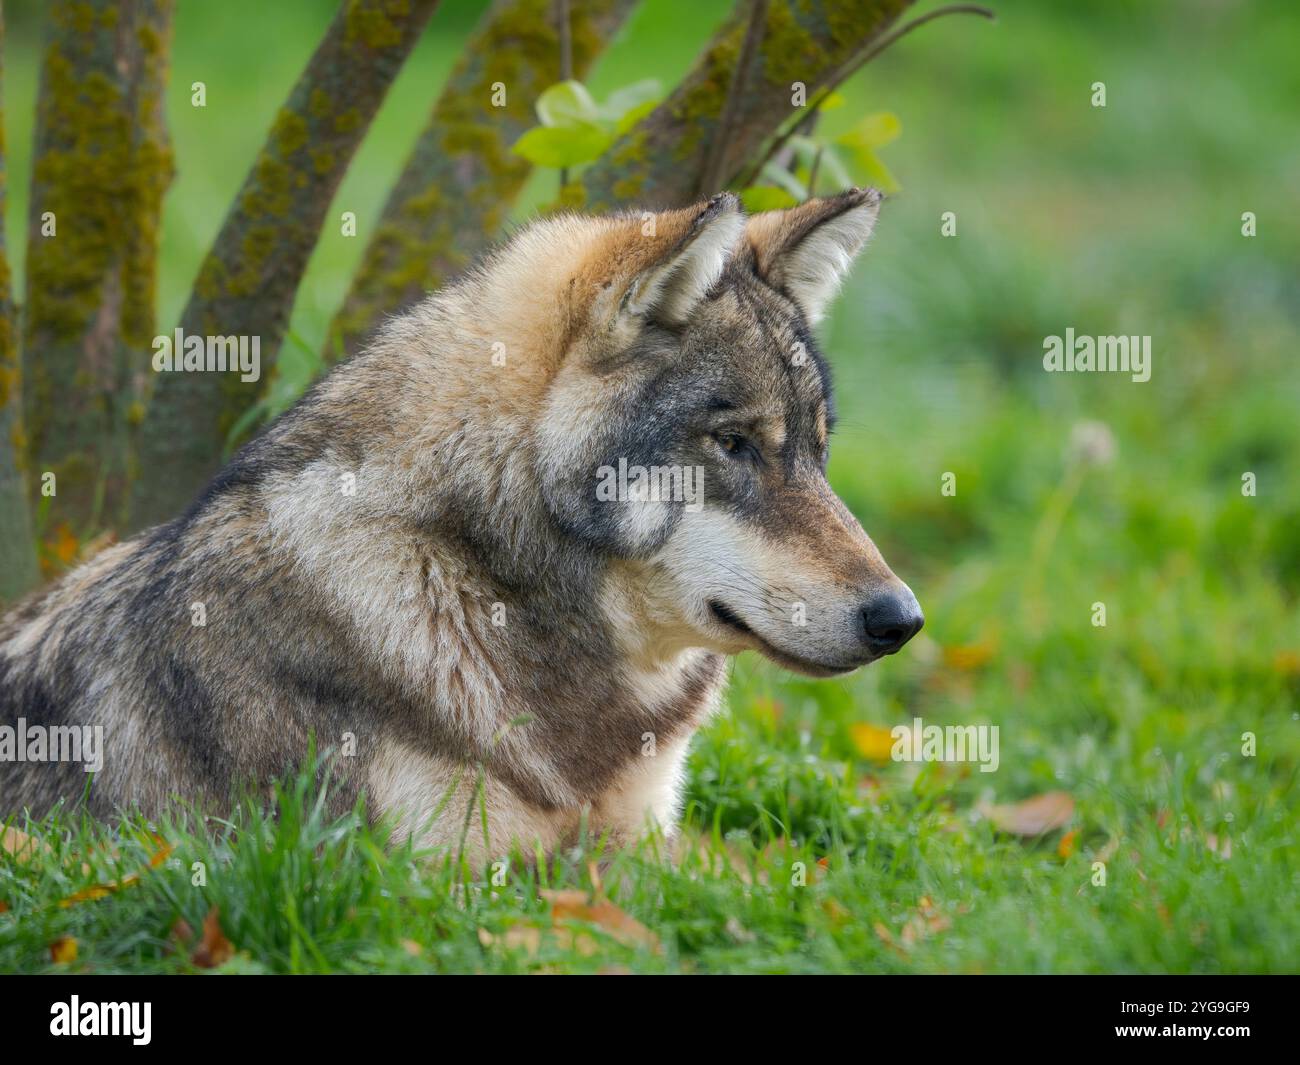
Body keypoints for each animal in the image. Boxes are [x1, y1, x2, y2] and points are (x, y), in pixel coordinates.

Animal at [0, 188, 922, 863]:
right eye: (734, 444)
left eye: (816, 450)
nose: (901, 618)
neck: (474, 580)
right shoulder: (429, 878)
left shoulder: (644, 842)